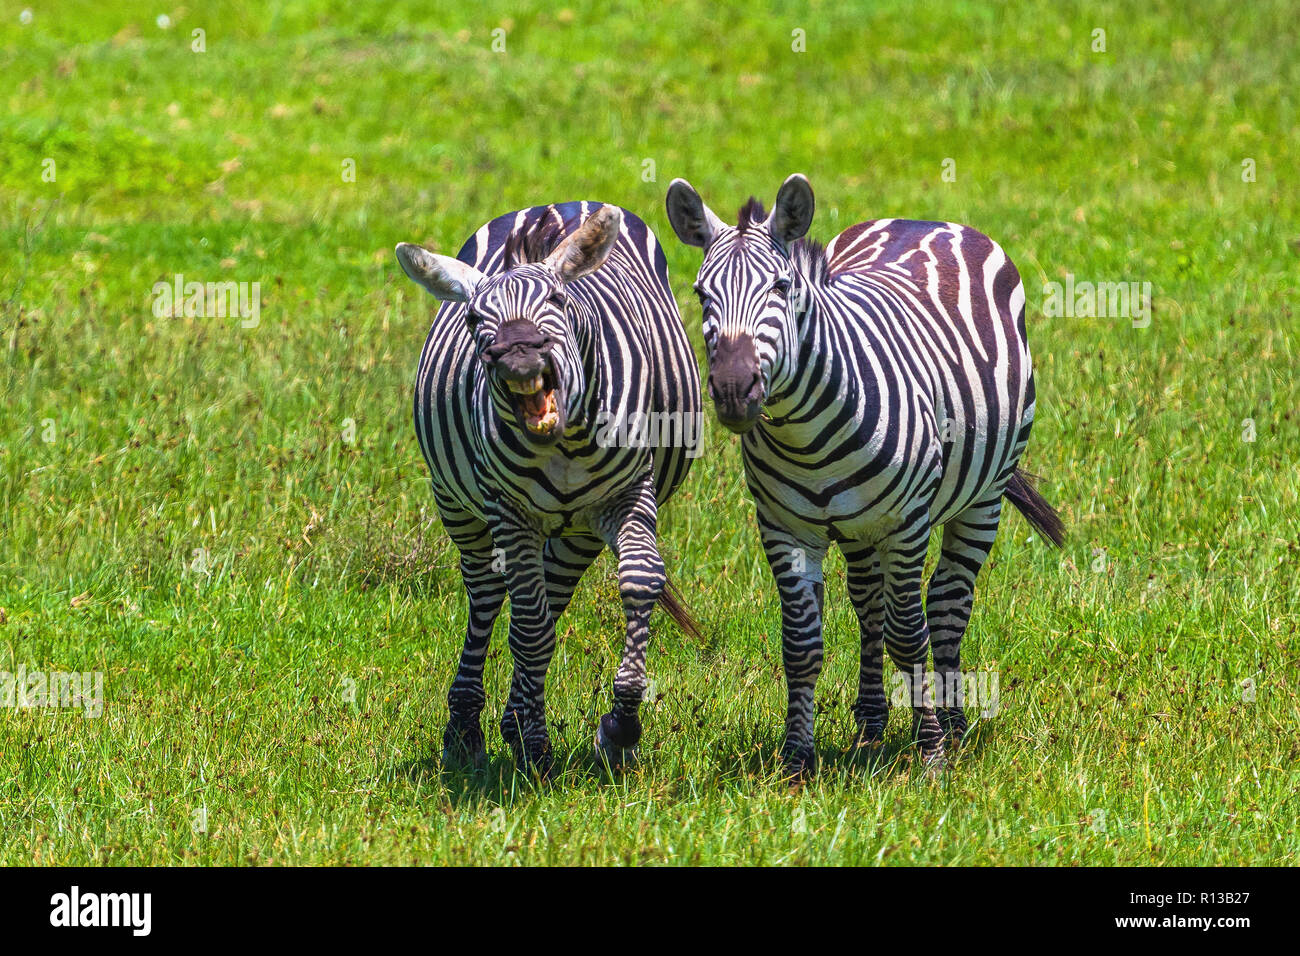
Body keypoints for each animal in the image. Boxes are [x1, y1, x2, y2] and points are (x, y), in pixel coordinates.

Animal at [395, 201, 702, 776]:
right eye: (474, 320)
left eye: (558, 300)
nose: (518, 354)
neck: (566, 442)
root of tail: (557, 204)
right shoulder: (508, 510)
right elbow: (529, 627)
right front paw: (535, 742)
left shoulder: (628, 495)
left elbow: (639, 582)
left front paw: (620, 727)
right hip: (458, 505)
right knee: (491, 595)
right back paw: (466, 728)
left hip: (576, 530)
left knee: (550, 595)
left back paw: (514, 716)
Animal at [666, 174, 1064, 774]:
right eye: (700, 294)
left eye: (782, 287)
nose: (735, 391)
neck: (807, 436)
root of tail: (923, 221)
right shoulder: (784, 528)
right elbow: (801, 644)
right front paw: (796, 760)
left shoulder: (906, 523)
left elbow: (908, 636)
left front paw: (931, 756)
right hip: (857, 528)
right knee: (869, 602)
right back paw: (872, 725)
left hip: (982, 498)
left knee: (945, 602)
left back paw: (953, 726)